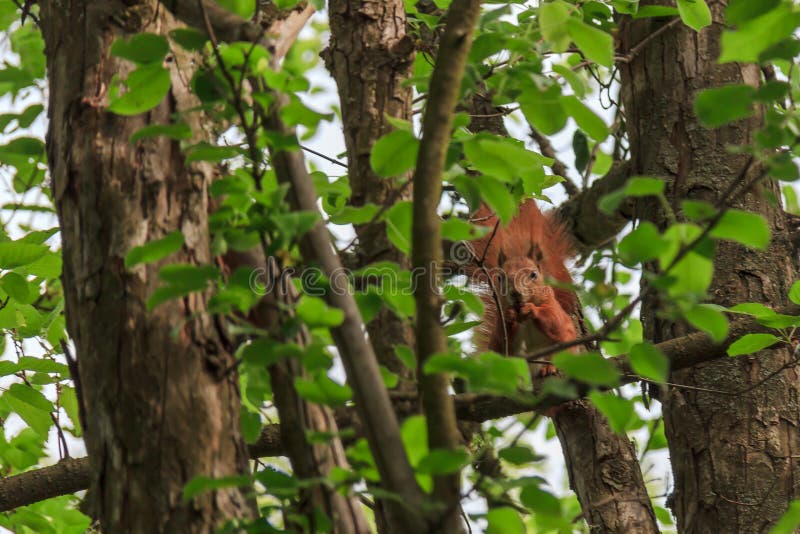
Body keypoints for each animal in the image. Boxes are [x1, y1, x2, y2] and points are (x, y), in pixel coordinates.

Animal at [466, 200, 579, 375]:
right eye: (499, 278)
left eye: (533, 274)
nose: (516, 293)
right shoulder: (500, 333)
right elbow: (499, 343)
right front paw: (510, 315)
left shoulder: (554, 307)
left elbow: (556, 322)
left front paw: (531, 309)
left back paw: (549, 368)